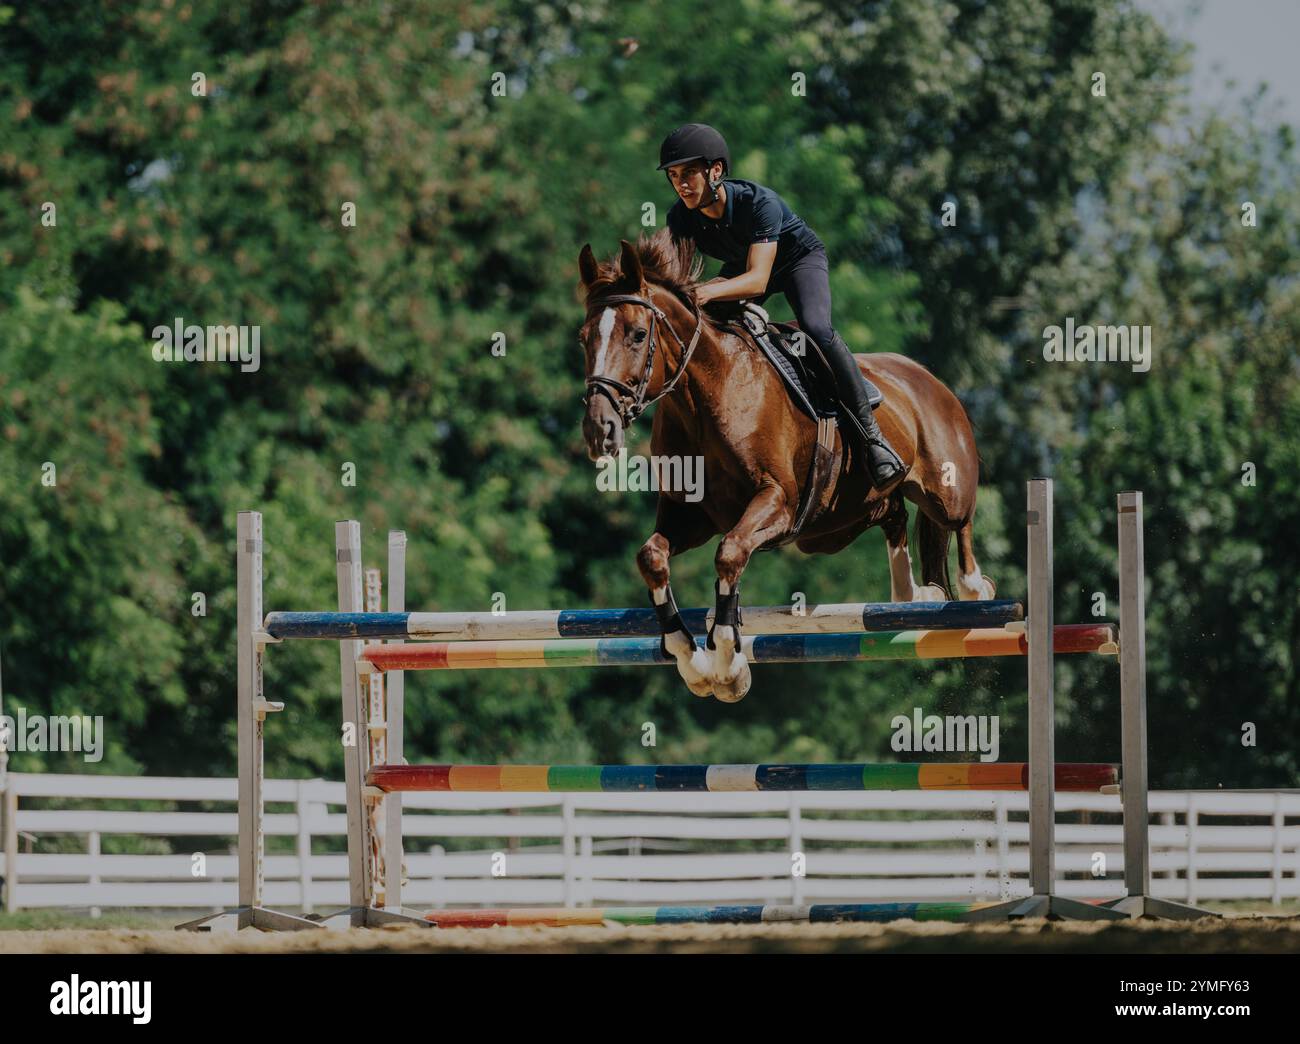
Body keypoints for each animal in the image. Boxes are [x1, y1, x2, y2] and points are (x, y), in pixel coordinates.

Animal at [578, 230, 995, 702]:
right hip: (834, 526)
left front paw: (727, 662)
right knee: (892, 514)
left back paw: (972, 589)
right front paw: (692, 660)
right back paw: (913, 594)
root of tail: (929, 378)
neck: (704, 397)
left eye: (637, 334)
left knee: (958, 521)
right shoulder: (691, 514)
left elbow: (730, 553)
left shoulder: (777, 501)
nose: (599, 429)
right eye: (584, 338)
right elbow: (653, 557)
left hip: (944, 488)